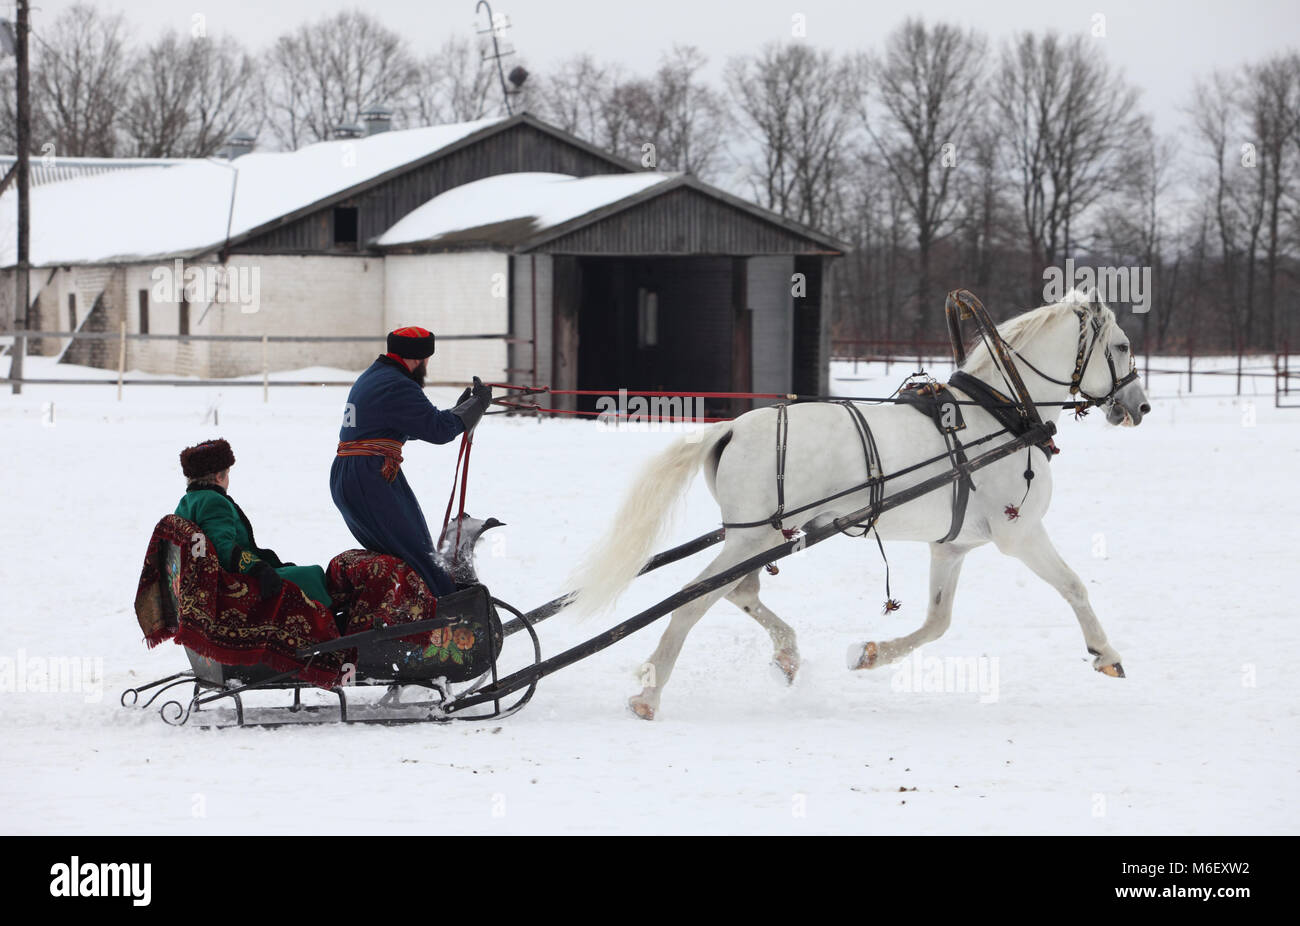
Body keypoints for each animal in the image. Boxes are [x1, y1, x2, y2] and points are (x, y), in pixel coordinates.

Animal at [569, 290, 1152, 720]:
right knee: (694, 598)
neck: (1001, 415)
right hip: (754, 536)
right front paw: (1106, 654)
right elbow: (1074, 586)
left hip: (755, 536)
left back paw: (786, 654)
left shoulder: (953, 546)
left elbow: (937, 622)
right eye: (1123, 346)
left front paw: (870, 655)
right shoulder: (1021, 534)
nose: (1140, 406)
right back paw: (650, 691)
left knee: (740, 591)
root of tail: (730, 427)